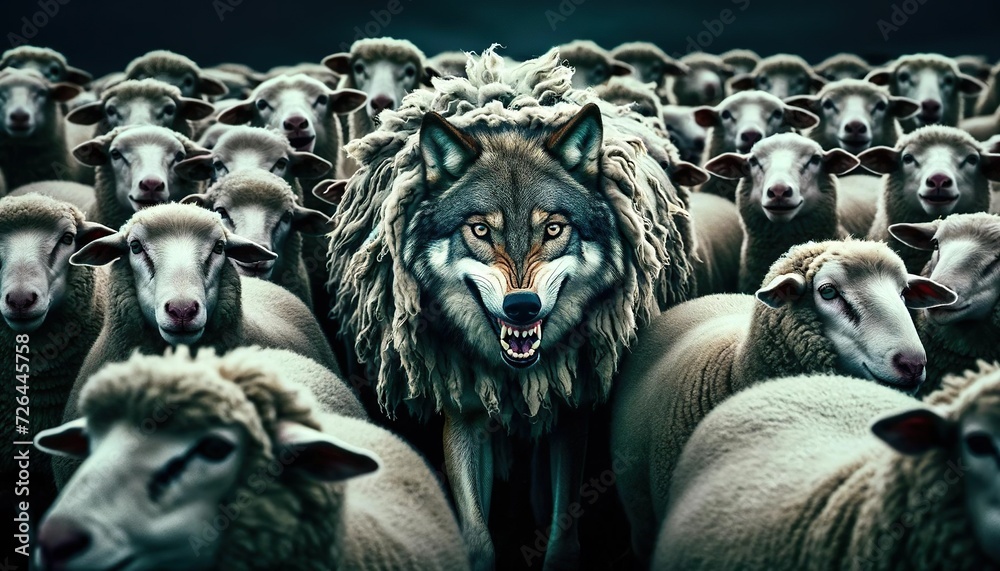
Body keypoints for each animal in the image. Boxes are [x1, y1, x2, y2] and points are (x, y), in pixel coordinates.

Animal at [328, 47, 692, 571]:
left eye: (554, 229)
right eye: (481, 230)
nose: (522, 306)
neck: (515, 377)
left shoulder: (571, 405)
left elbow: (562, 533)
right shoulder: (464, 408)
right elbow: (477, 536)